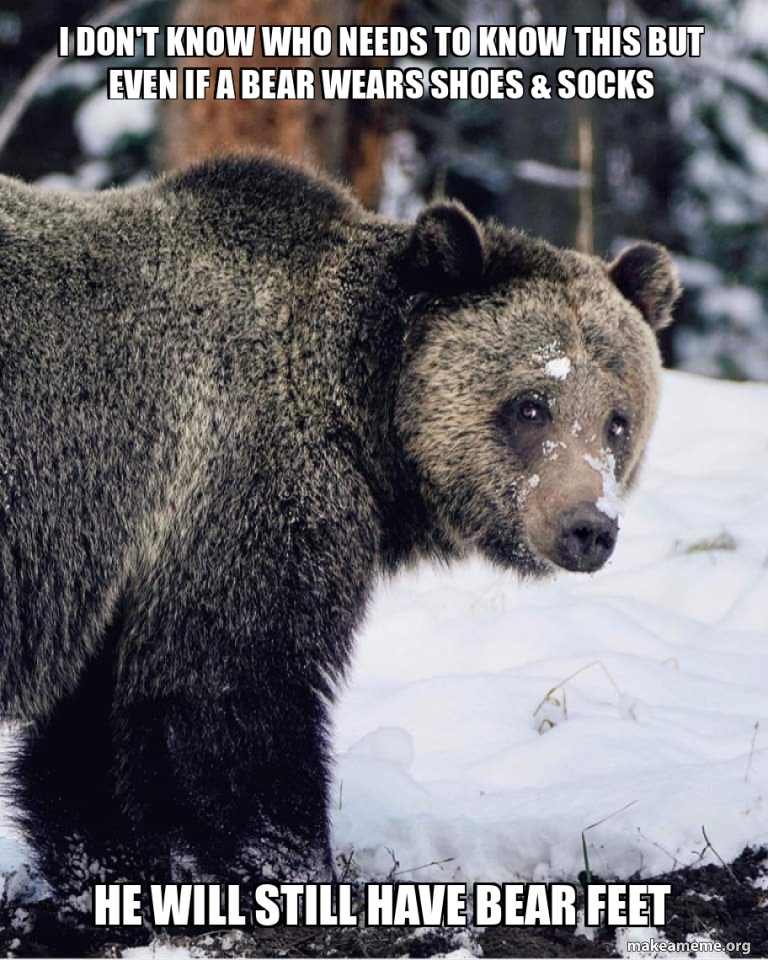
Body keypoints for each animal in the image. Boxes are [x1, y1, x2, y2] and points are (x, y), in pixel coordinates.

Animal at [0, 154, 679, 925]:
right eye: (531, 406)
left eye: (618, 421)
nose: (587, 526)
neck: (363, 418)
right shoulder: (242, 488)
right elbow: (238, 698)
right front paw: (293, 869)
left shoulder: (128, 560)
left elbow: (91, 732)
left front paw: (105, 874)